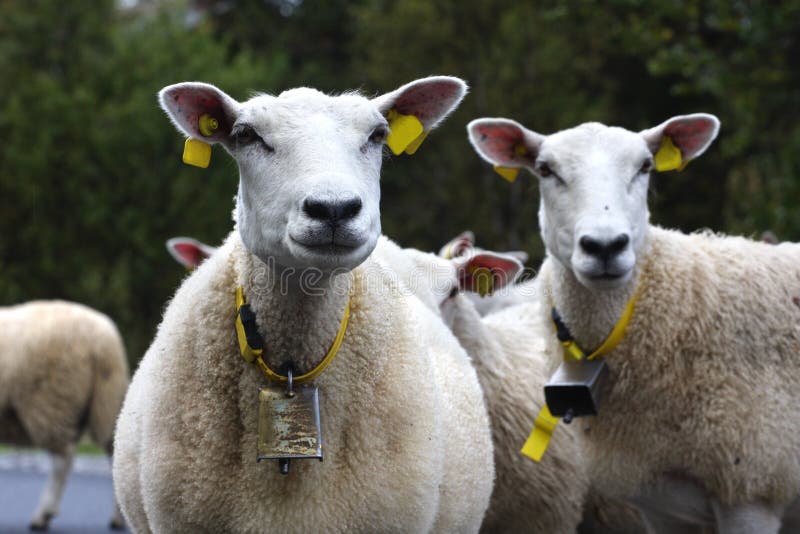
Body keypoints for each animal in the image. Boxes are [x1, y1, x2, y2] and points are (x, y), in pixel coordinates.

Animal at [0, 300, 129, 530]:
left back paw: (44, 514)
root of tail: (104, 340)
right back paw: (118, 518)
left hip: (52, 400)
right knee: (113, 450)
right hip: (107, 399)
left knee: (62, 461)